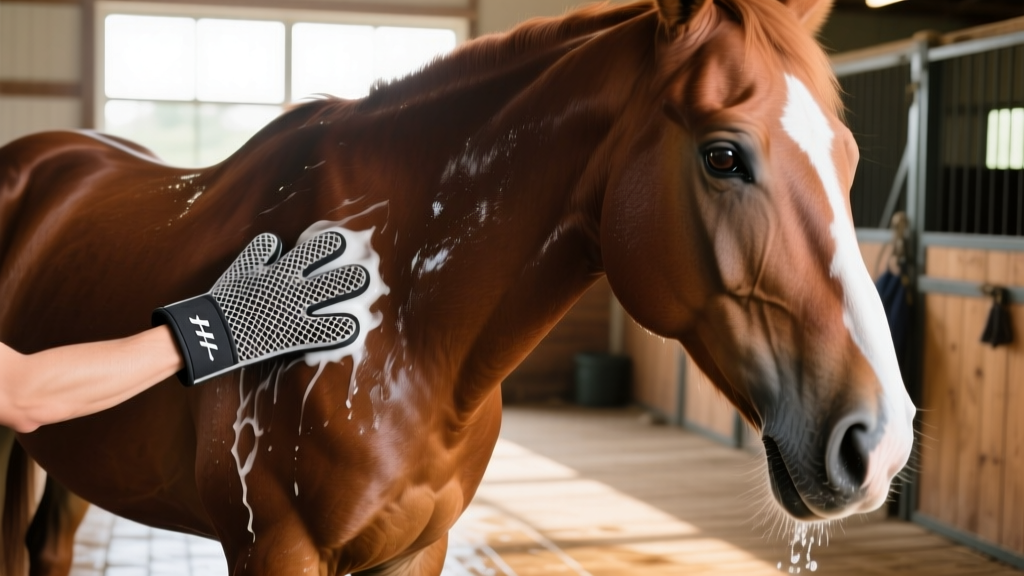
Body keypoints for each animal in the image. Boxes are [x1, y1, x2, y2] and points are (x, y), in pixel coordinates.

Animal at [0, 0, 916, 573]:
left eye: (847, 157)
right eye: (724, 154)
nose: (877, 440)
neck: (397, 327)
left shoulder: (416, 549)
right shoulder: (275, 551)